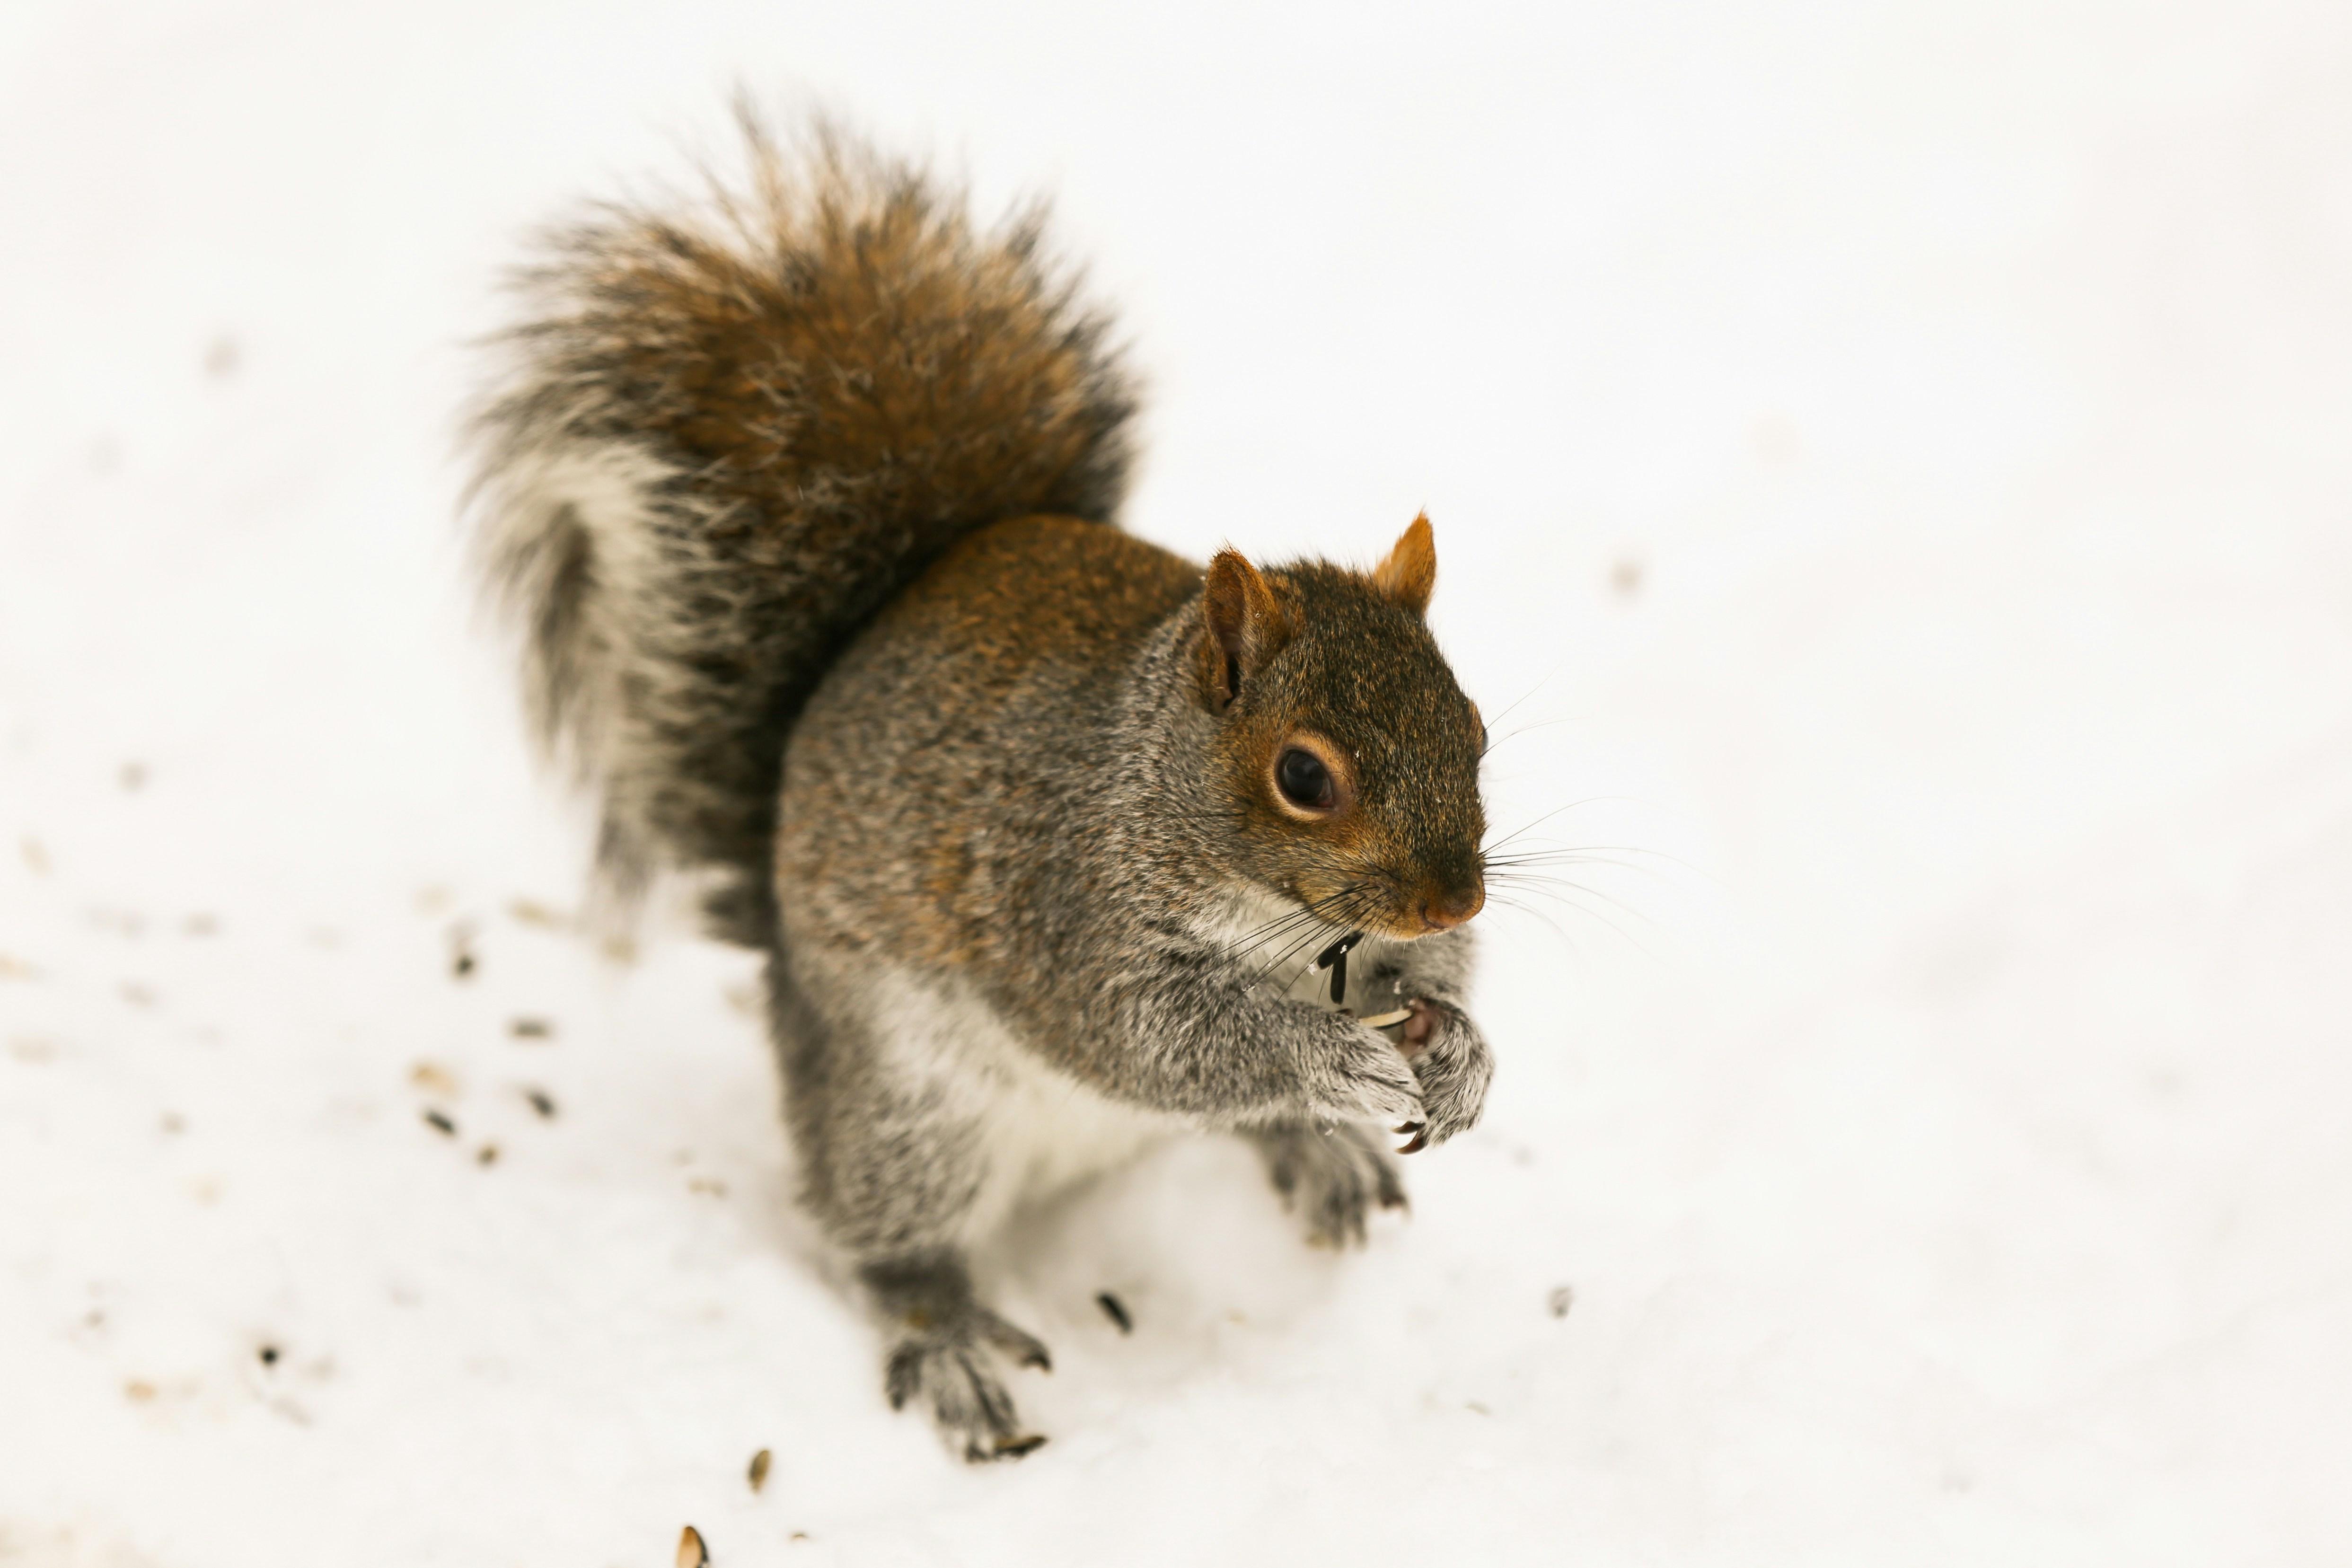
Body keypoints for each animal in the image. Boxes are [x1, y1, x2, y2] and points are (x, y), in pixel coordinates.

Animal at [466, 110, 1495, 1461]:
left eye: (1474, 723)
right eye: (1301, 775)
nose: (1454, 901)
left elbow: (1417, 996)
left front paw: (1461, 1050)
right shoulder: (1062, 907)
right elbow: (1160, 1033)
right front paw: (1332, 1057)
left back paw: (1319, 1157)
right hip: (907, 1109)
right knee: (891, 1238)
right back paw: (949, 1336)